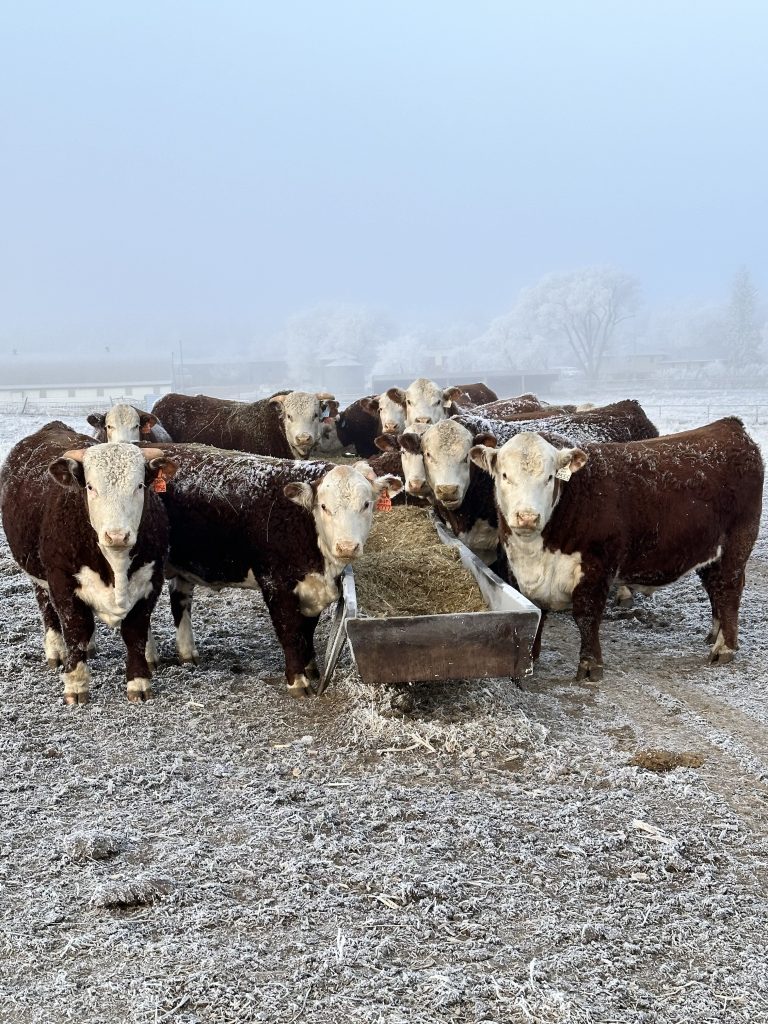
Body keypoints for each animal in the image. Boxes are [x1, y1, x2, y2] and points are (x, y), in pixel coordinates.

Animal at [0, 422, 175, 704]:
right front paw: (76, 684)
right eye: (90, 487)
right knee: (47, 609)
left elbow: (135, 631)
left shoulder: (152, 578)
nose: (117, 535)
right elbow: (76, 628)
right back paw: (57, 650)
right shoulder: (61, 580)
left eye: (139, 485)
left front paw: (138, 681)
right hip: (38, 575)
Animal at [150, 444, 402, 696]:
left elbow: (307, 629)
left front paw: (310, 667)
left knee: (180, 603)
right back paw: (151, 657)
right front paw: (297, 680)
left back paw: (187, 654)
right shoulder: (275, 583)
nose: (347, 546)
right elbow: (289, 630)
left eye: (366, 504)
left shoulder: (312, 587)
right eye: (324, 506)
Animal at [469, 420, 764, 680]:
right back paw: (716, 635)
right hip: (708, 551)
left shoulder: (597, 565)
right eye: (505, 475)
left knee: (729, 590)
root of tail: (729, 426)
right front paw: (533, 657)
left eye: (550, 477)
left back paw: (724, 648)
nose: (527, 517)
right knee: (716, 588)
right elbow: (538, 612)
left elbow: (587, 616)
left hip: (737, 543)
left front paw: (590, 666)